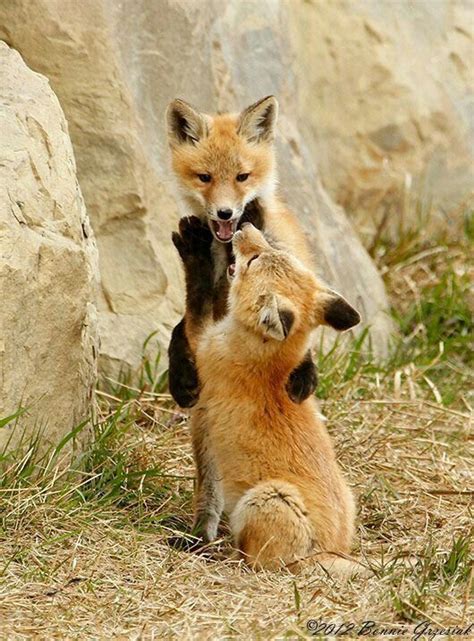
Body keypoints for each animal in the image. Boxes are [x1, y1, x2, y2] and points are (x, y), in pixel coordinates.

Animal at [166, 95, 318, 409]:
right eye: (205, 177)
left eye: (242, 177)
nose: (225, 213)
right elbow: (184, 325)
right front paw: (181, 375)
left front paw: (303, 372)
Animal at [174, 219, 361, 570]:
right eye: (268, 252)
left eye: (252, 261)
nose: (245, 225)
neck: (270, 363)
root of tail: (331, 551)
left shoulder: (202, 344)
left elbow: (197, 299)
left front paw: (195, 253)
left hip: (265, 497)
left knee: (258, 561)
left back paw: (224, 554)